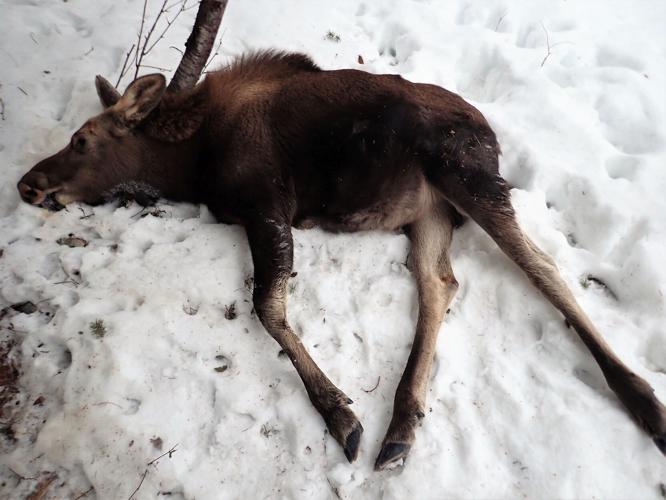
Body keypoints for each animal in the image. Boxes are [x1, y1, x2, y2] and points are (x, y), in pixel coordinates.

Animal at [16, 1, 665, 471]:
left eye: (82, 140)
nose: (27, 183)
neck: (192, 163)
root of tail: (488, 129)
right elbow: (273, 304)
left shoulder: (268, 202)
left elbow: (267, 305)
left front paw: (340, 415)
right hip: (428, 211)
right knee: (439, 284)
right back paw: (401, 425)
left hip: (467, 174)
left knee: (540, 266)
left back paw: (642, 399)